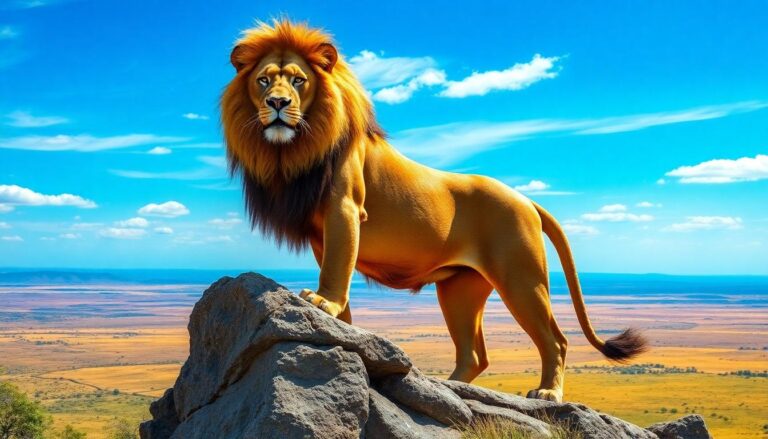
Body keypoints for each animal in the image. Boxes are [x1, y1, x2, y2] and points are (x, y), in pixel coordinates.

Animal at [221, 19, 647, 402]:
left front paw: (322, 302)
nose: (278, 104)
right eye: (264, 81)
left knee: (555, 341)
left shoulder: (345, 207)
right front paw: (342, 325)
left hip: (521, 277)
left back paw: (546, 393)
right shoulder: (320, 233)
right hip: (459, 289)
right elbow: (339, 269)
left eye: (298, 81)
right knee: (474, 355)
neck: (293, 151)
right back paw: (446, 387)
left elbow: (337, 267)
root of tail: (527, 200)